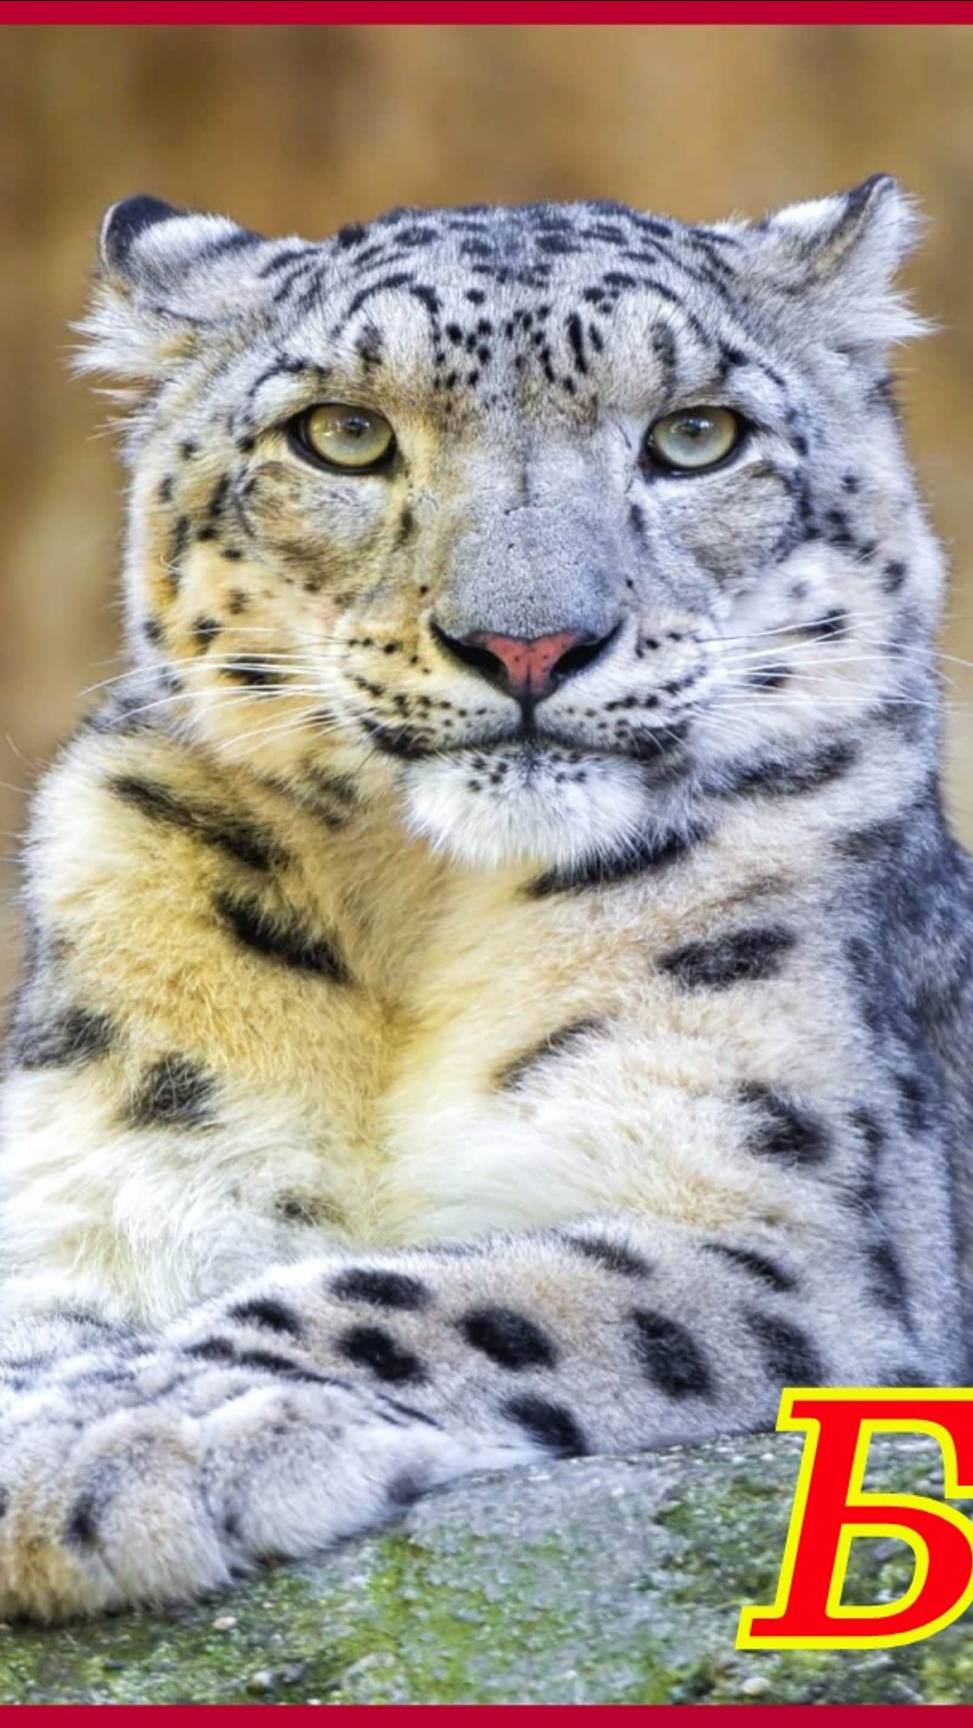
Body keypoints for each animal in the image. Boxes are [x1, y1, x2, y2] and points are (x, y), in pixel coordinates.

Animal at [1, 175, 971, 1622]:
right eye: (343, 435)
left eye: (696, 436)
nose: (530, 643)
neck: (416, 917)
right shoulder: (100, 1186)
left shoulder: (812, 1239)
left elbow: (448, 1293)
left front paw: (137, 1434)